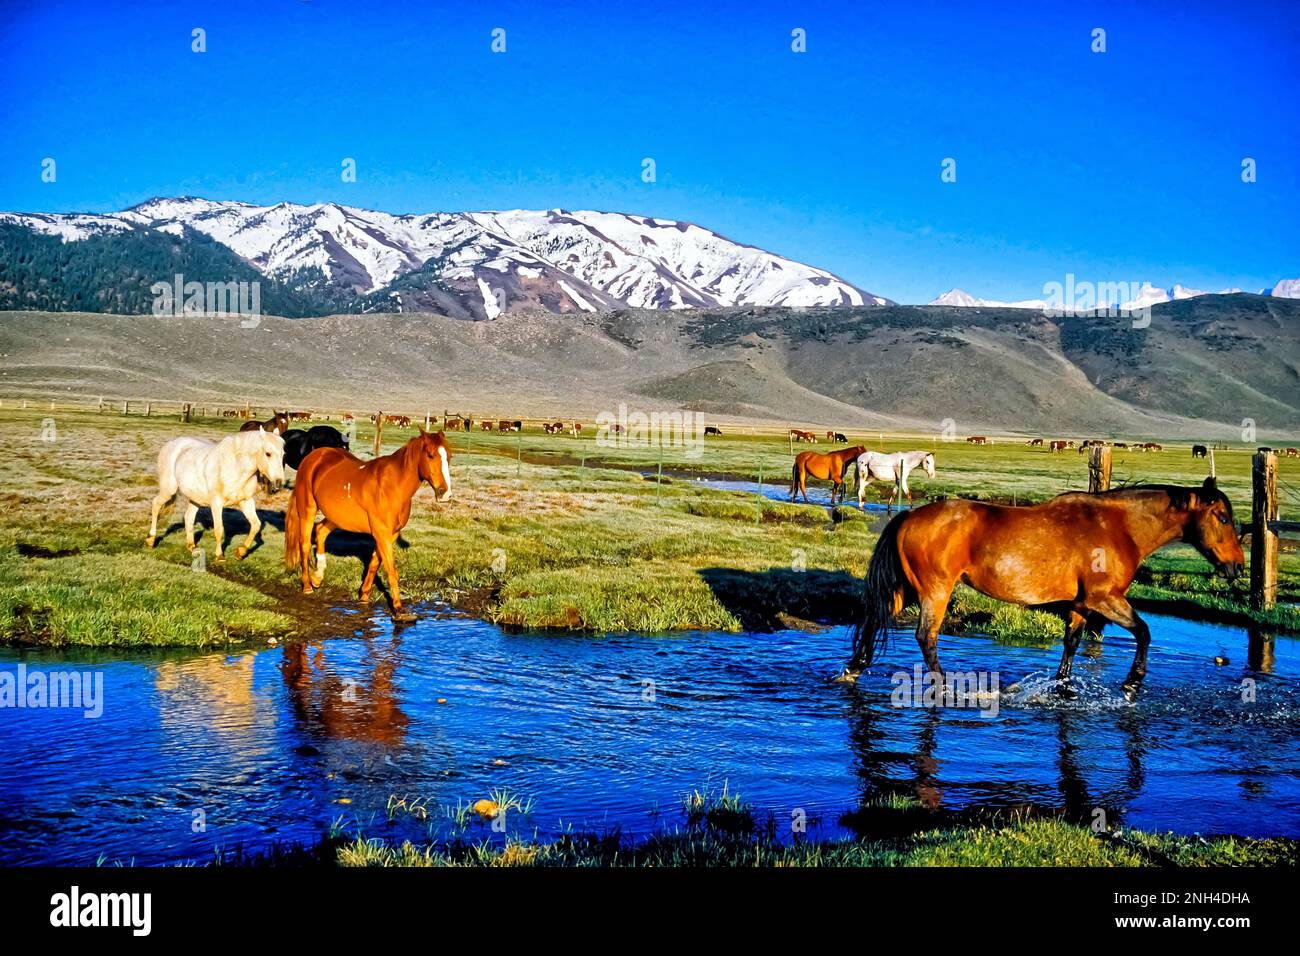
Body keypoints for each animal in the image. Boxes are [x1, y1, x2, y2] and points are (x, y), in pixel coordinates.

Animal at [145, 429, 286, 562]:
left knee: (188, 518)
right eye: (268, 453)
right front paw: (219, 556)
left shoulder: (246, 501)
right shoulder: (216, 503)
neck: (234, 466)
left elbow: (256, 526)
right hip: (168, 490)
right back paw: (151, 540)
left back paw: (191, 546)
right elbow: (219, 529)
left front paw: (240, 552)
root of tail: (171, 444)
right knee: (156, 505)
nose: (278, 484)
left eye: (283, 454)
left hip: (196, 498)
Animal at [285, 428, 452, 622]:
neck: (393, 486)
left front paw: (363, 596)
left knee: (320, 531)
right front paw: (399, 610)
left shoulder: (391, 534)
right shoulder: (382, 532)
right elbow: (391, 569)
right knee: (304, 544)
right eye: (430, 455)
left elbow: (374, 563)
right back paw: (307, 586)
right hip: (308, 509)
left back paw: (317, 577)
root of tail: (314, 457)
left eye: (449, 456)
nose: (445, 494)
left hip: (336, 517)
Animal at [846, 478, 1244, 700]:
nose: (1237, 566)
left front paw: (1063, 688)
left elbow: (1071, 645)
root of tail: (908, 516)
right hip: (935, 590)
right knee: (926, 636)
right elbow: (1144, 631)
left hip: (906, 590)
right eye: (1223, 518)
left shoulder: (1081, 604)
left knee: (876, 617)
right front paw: (1132, 683)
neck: (1118, 528)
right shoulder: (1105, 598)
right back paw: (944, 687)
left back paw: (854, 668)